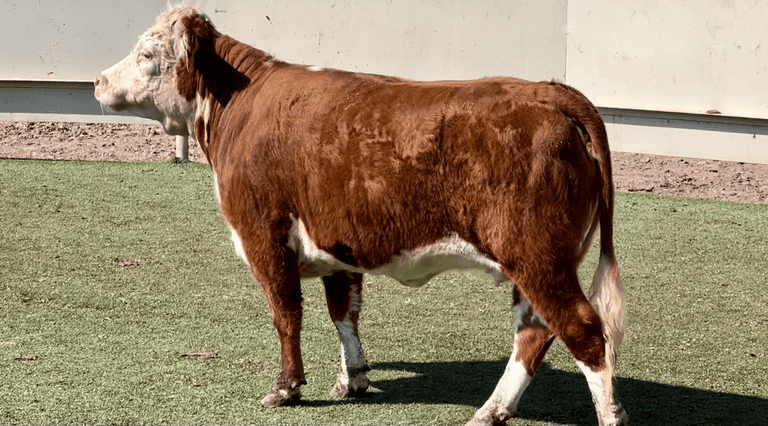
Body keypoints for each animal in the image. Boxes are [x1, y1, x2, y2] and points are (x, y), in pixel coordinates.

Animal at [94, 5, 628, 425]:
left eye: (147, 55)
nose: (98, 81)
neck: (240, 105)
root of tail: (548, 90)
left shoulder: (264, 236)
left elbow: (286, 314)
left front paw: (287, 388)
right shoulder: (337, 244)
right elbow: (343, 313)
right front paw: (353, 380)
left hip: (538, 256)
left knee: (584, 332)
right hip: (539, 261)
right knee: (534, 331)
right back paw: (490, 410)